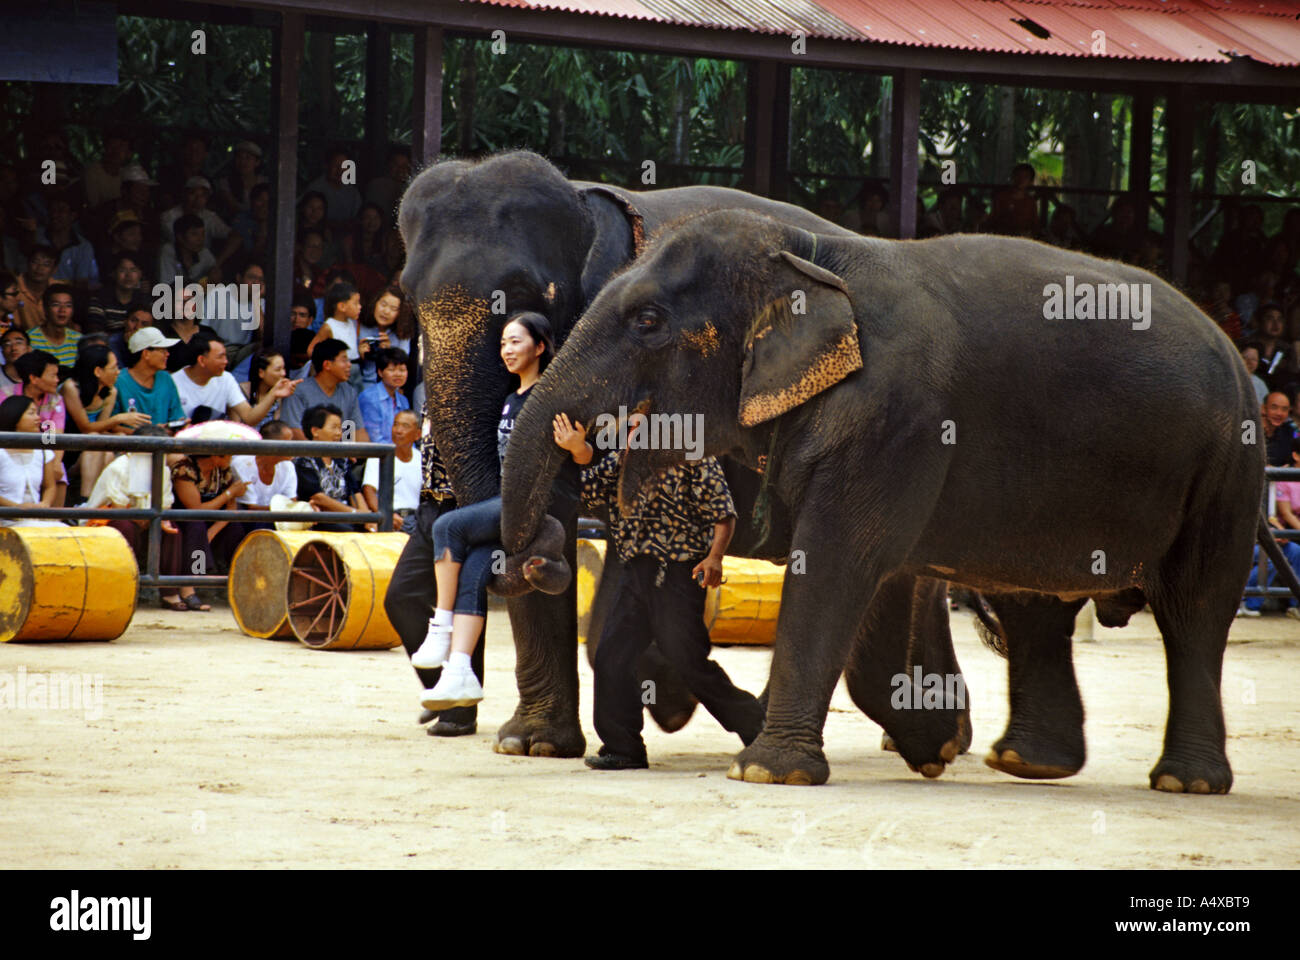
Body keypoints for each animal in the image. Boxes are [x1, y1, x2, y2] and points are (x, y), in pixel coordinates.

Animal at [397, 150, 972, 769]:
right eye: (408, 295)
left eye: (523, 291)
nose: (528, 564)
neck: (585, 199)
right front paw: (533, 744)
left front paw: (652, 704)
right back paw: (938, 736)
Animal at [498, 207, 1264, 793]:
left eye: (649, 320)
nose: (533, 562)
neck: (809, 257)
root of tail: (1233, 348)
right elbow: (877, 578)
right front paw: (931, 745)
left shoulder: (895, 419)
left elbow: (840, 562)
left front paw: (767, 772)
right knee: (1034, 606)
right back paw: (1028, 763)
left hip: (1230, 466)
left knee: (1194, 607)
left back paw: (1184, 782)